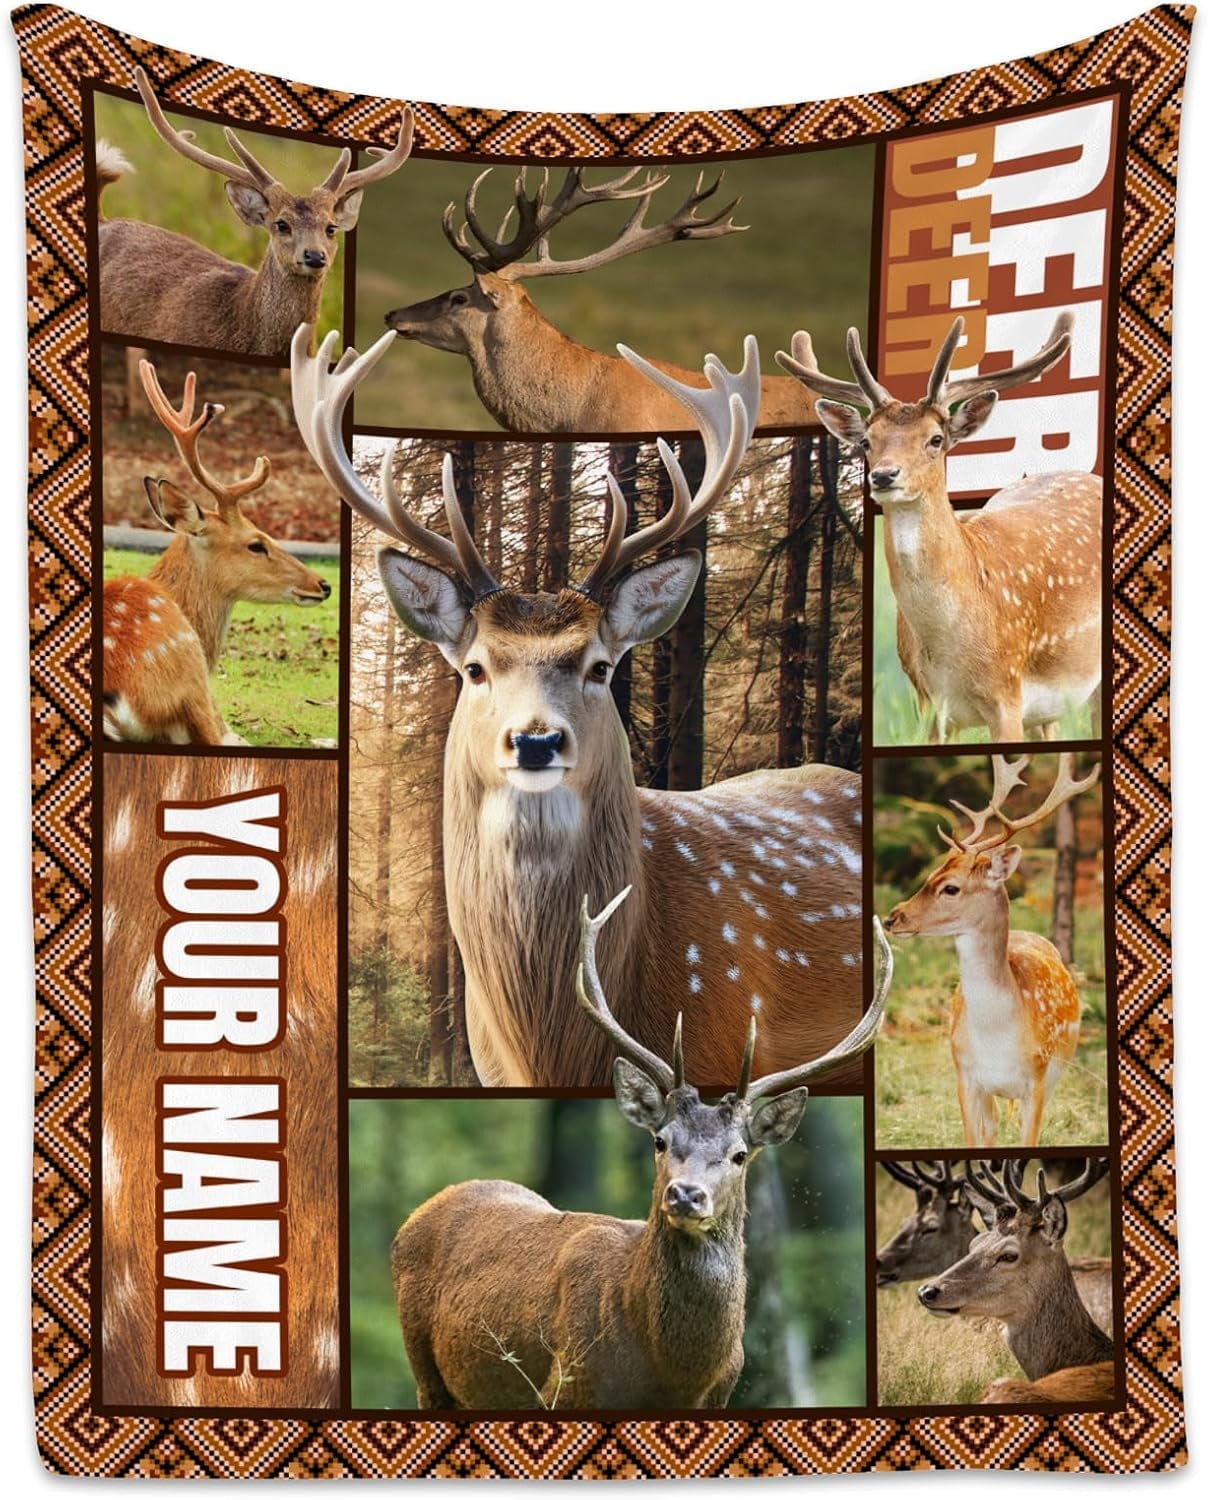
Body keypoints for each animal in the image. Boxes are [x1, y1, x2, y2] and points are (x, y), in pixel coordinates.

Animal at [391, 898, 890, 1410]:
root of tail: (420, 1211)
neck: (670, 1374)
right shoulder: (561, 1385)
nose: (686, 1195)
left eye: (739, 1154)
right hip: (425, 1368)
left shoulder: (721, 1394)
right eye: (660, 1140)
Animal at [883, 754, 1100, 1148]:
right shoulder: (965, 1076)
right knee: (993, 1129)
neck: (997, 1039)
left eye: (951, 888)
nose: (893, 917)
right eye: (930, 874)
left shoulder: (1037, 1080)